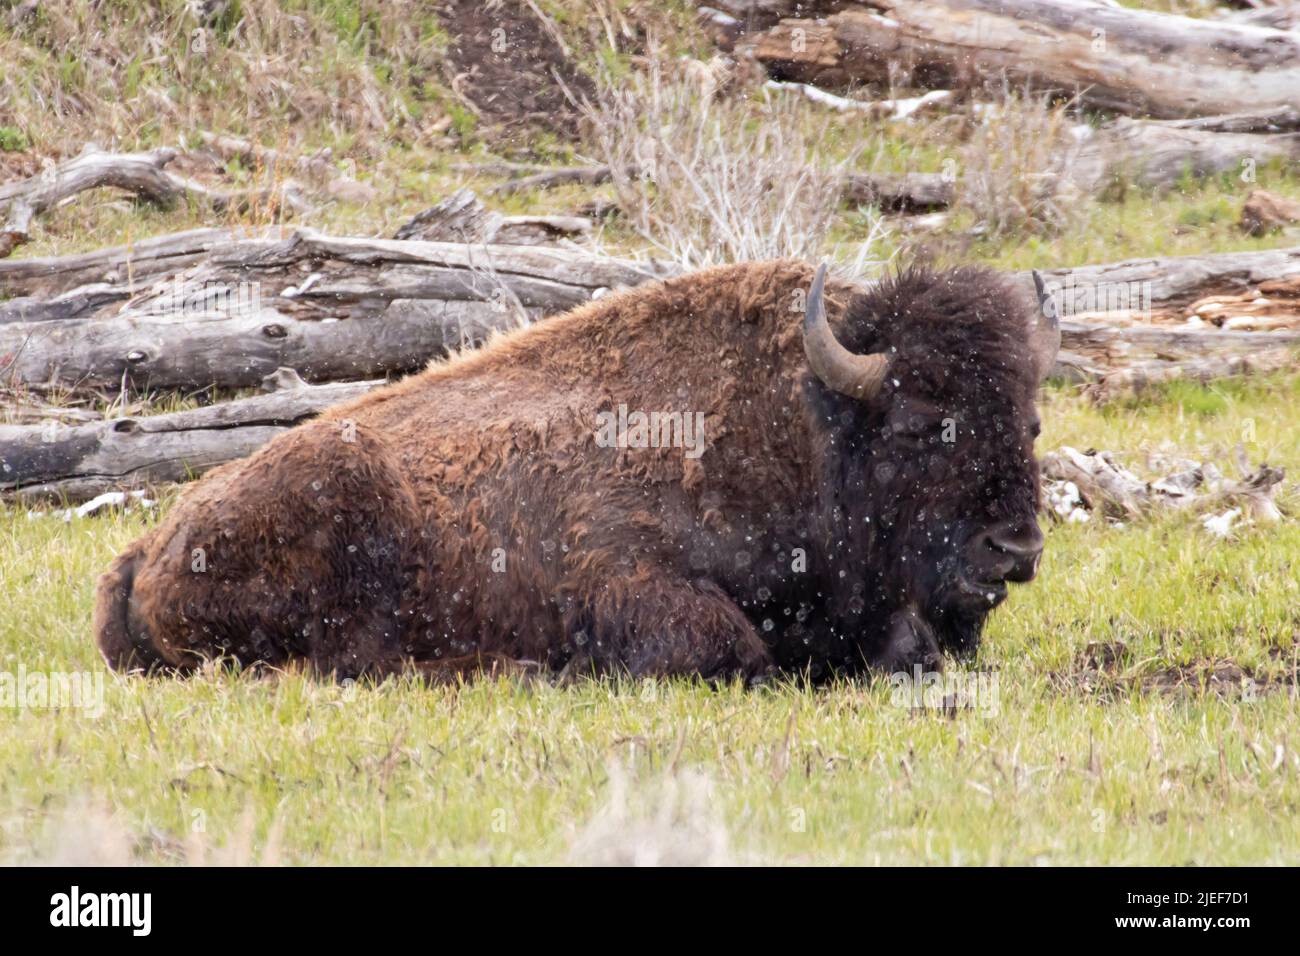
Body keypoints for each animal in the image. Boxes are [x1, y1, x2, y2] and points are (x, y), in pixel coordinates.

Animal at [93, 258, 1059, 683]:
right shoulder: (631, 583)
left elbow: (908, 649)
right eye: (923, 422)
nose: (1013, 550)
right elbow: (731, 649)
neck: (807, 427)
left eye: (1032, 420)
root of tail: (147, 549)